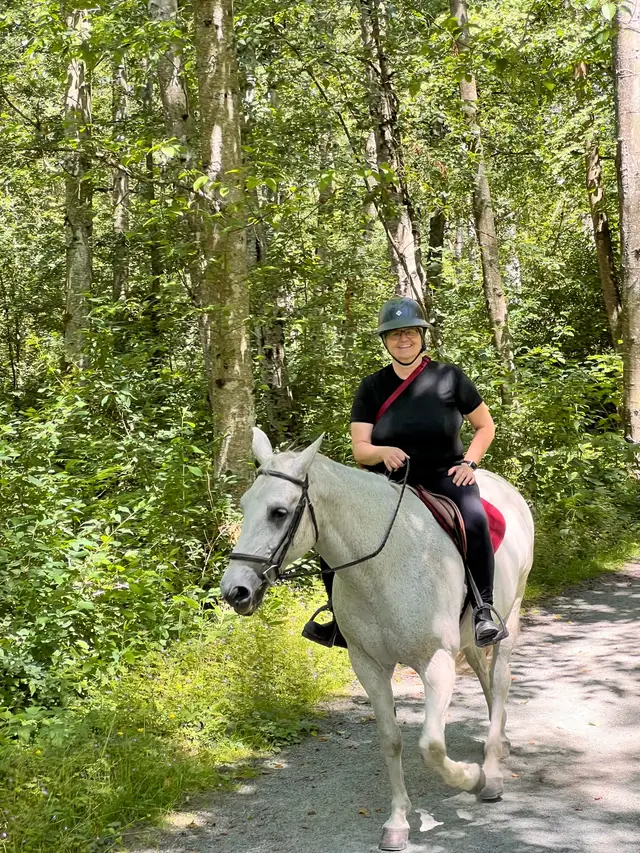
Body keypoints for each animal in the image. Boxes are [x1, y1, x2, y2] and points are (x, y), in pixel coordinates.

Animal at [220, 428, 535, 851]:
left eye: (278, 512)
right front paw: (398, 821)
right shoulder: (367, 664)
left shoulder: (436, 661)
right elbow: (391, 739)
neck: (382, 567)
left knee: (499, 679)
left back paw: (493, 767)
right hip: (468, 636)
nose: (234, 591)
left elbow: (431, 746)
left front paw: (474, 778)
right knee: (483, 675)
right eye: (244, 505)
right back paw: (497, 739)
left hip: (510, 613)